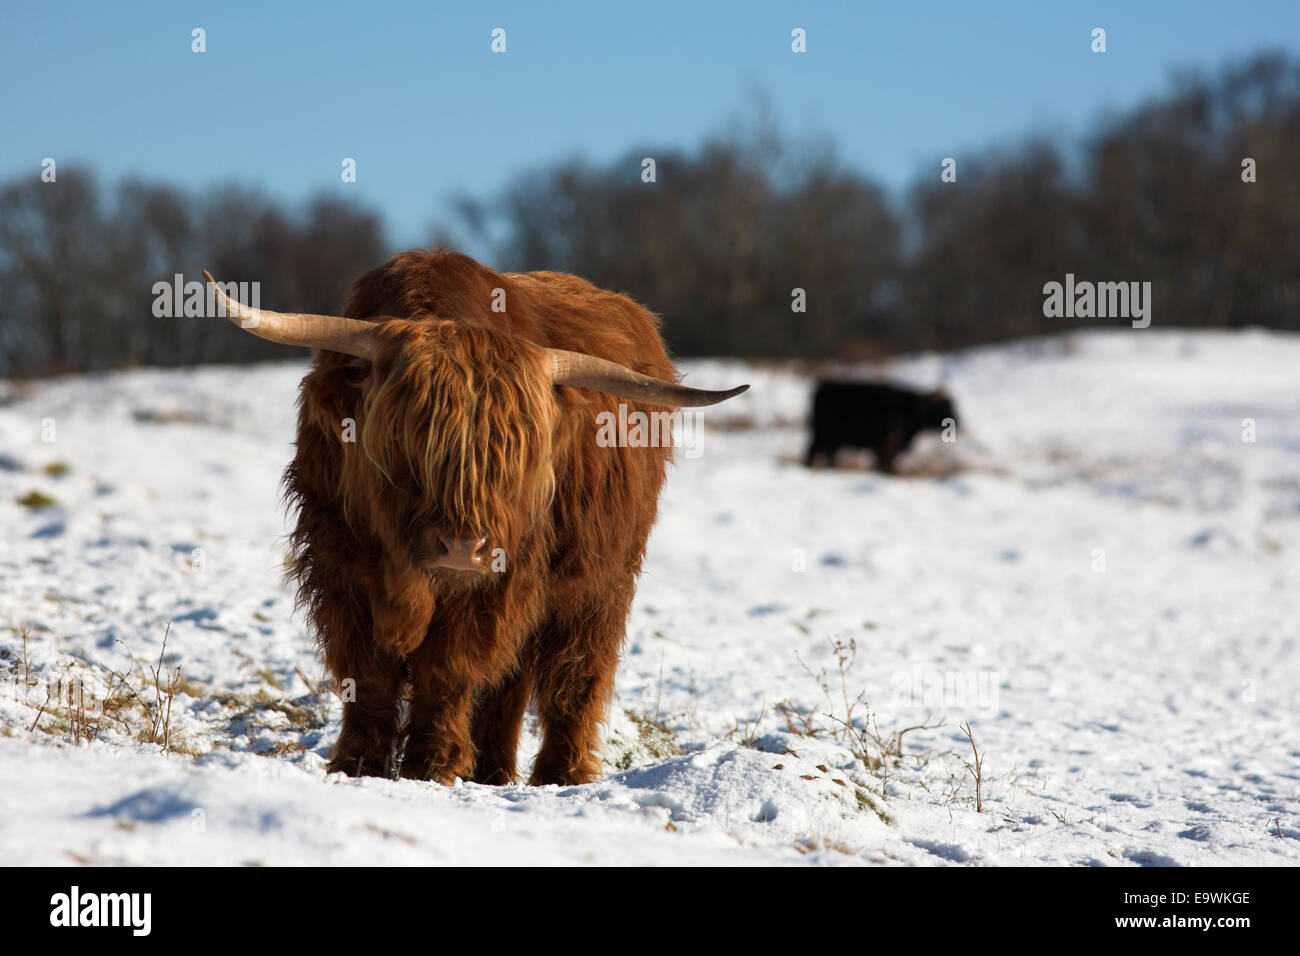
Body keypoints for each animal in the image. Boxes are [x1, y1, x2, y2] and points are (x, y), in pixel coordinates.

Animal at [203, 251, 747, 786]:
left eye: (516, 456)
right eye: (404, 442)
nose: (464, 550)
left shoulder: (499, 581)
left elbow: (449, 670)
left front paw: (431, 765)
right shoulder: (339, 562)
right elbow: (369, 672)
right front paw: (359, 763)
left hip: (599, 581)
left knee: (573, 674)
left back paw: (560, 774)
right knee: (513, 681)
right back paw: (493, 772)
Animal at [805, 380, 956, 473]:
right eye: (944, 408)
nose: (957, 421)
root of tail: (823, 386)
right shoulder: (887, 444)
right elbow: (884, 463)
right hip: (828, 436)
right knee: (818, 451)